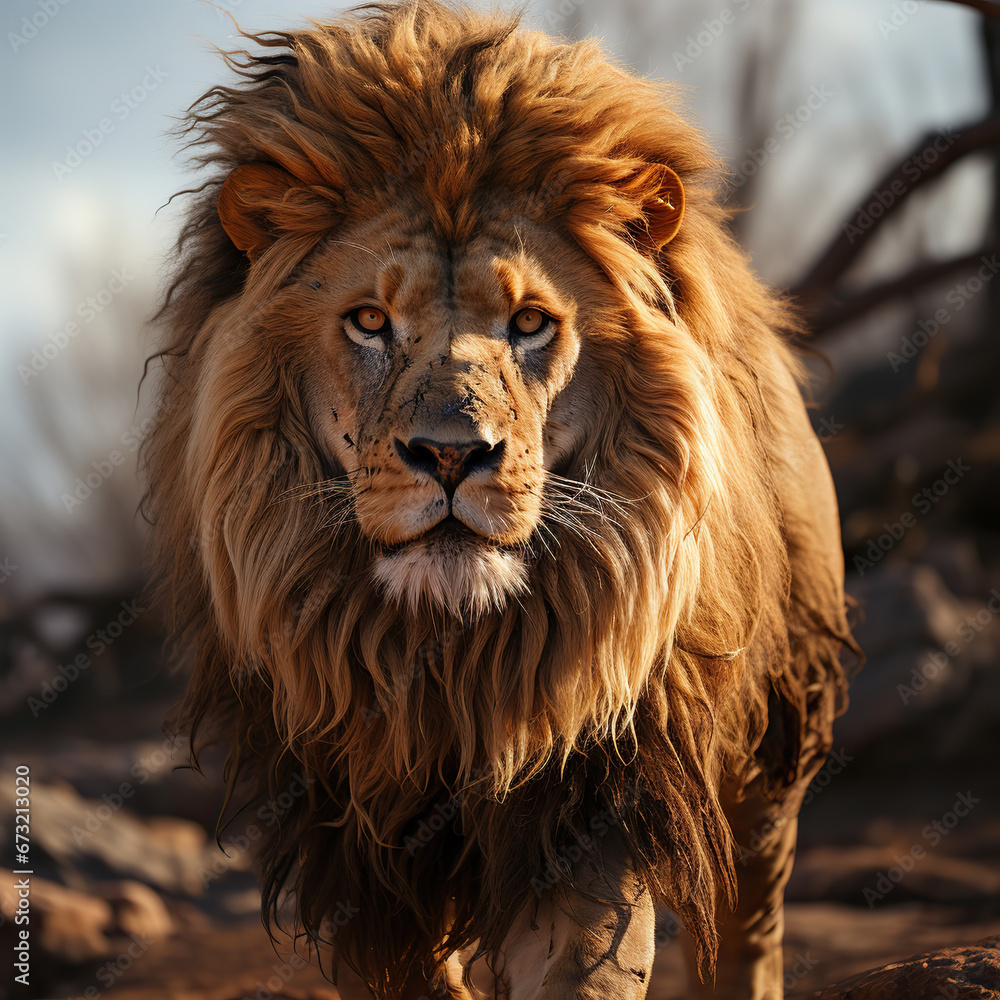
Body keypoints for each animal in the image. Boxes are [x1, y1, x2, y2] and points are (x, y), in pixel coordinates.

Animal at [144, 3, 858, 998]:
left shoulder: (594, 794)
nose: (452, 454)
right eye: (370, 322)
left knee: (751, 918)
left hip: (780, 731)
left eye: (529, 323)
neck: (451, 662)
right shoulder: (353, 847)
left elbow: (586, 963)